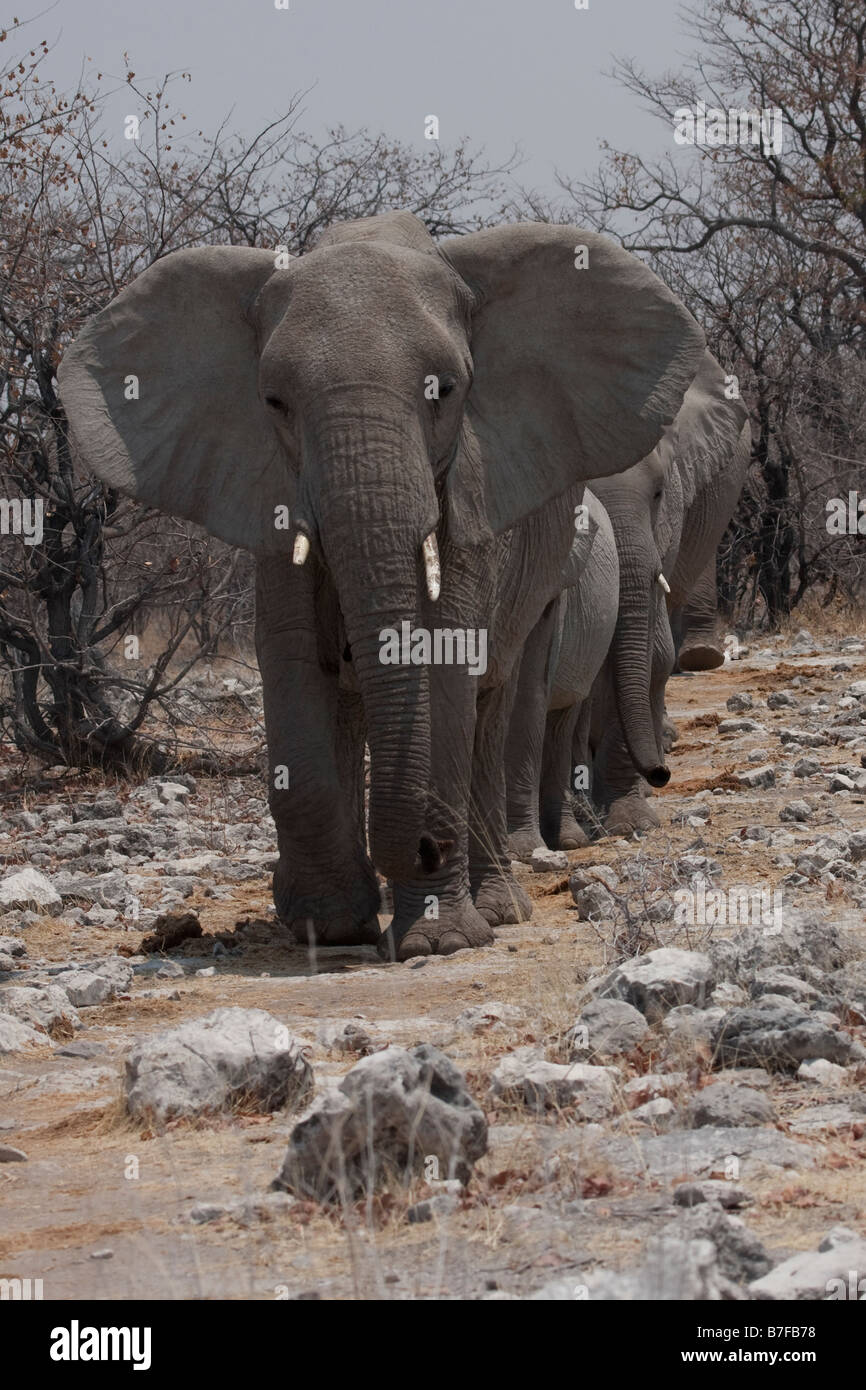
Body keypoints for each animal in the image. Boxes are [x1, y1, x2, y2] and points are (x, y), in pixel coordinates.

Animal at [58, 210, 706, 958]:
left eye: (444, 392)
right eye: (274, 402)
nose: (425, 849)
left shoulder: (475, 492)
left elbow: (446, 663)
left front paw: (440, 941)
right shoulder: (271, 490)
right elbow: (292, 660)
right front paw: (332, 927)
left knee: (495, 699)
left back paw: (500, 907)